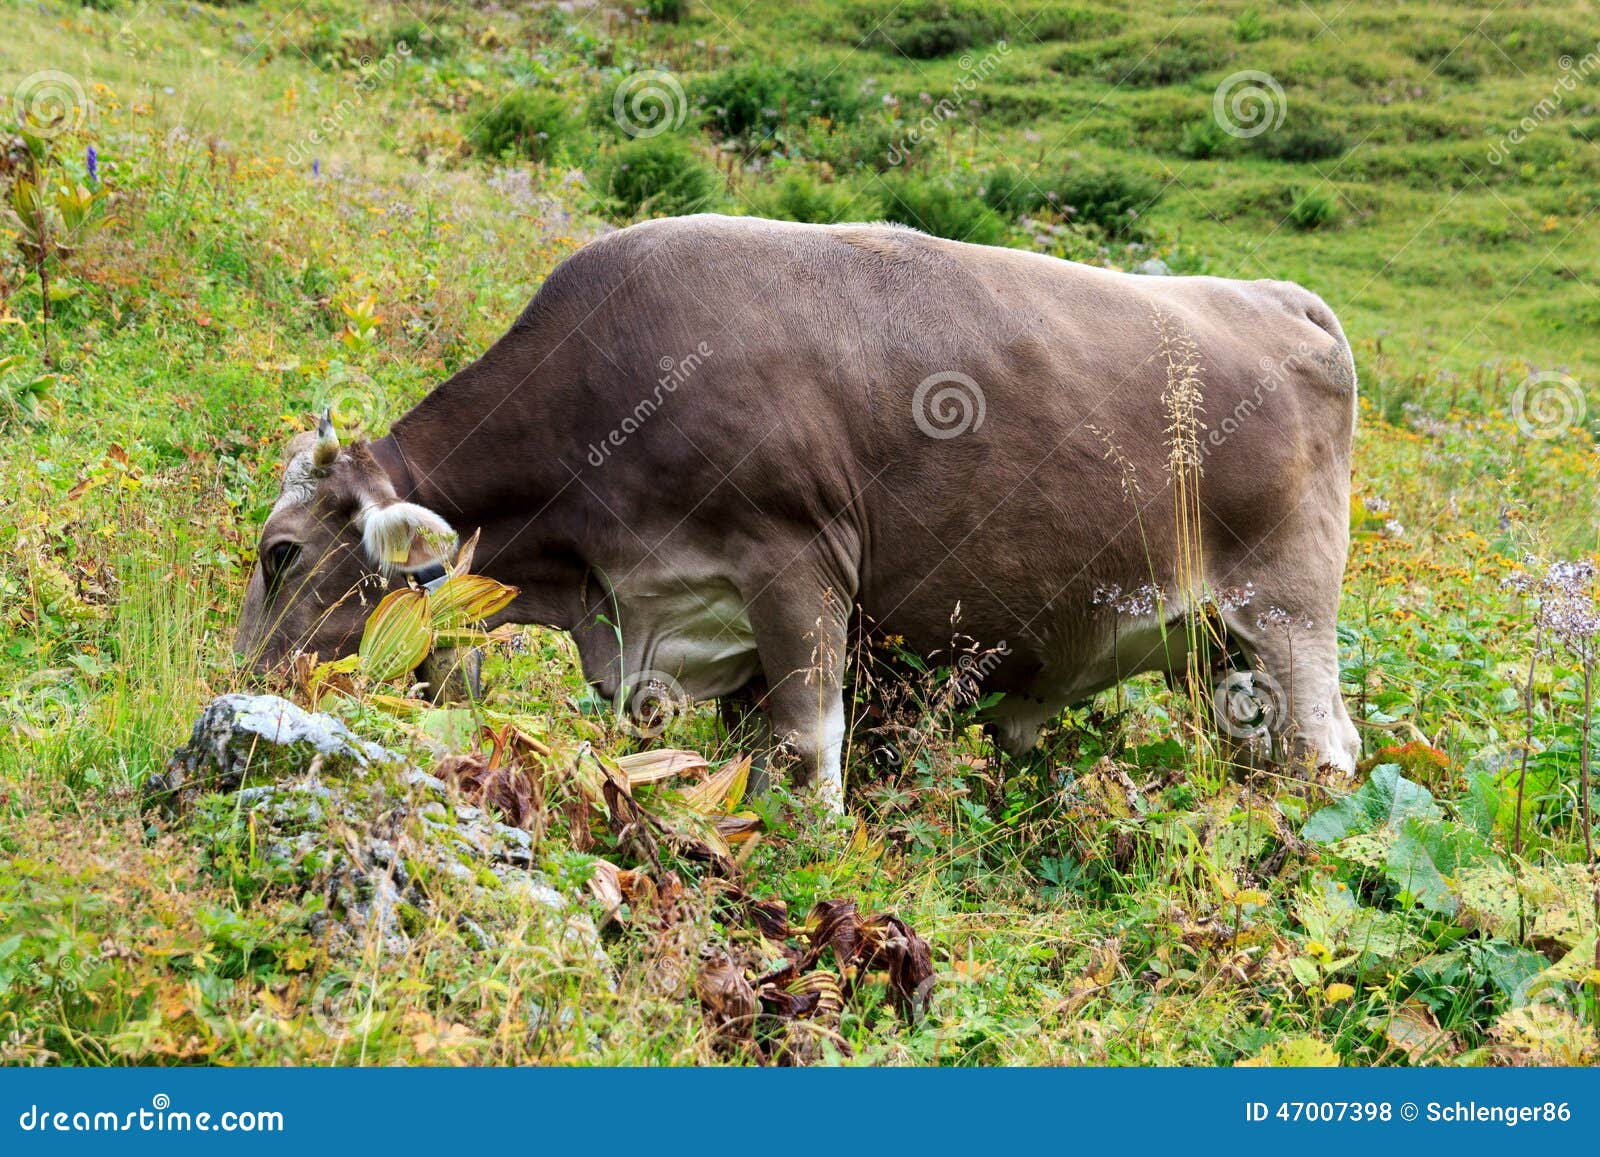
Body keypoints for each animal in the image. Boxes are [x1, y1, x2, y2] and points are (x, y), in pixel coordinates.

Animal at [235, 214, 1361, 806]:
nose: (242, 682)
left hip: (1288, 604)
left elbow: (808, 746)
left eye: (280, 552)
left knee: (1327, 742)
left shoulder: (797, 565)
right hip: (1215, 650)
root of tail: (1274, 294)